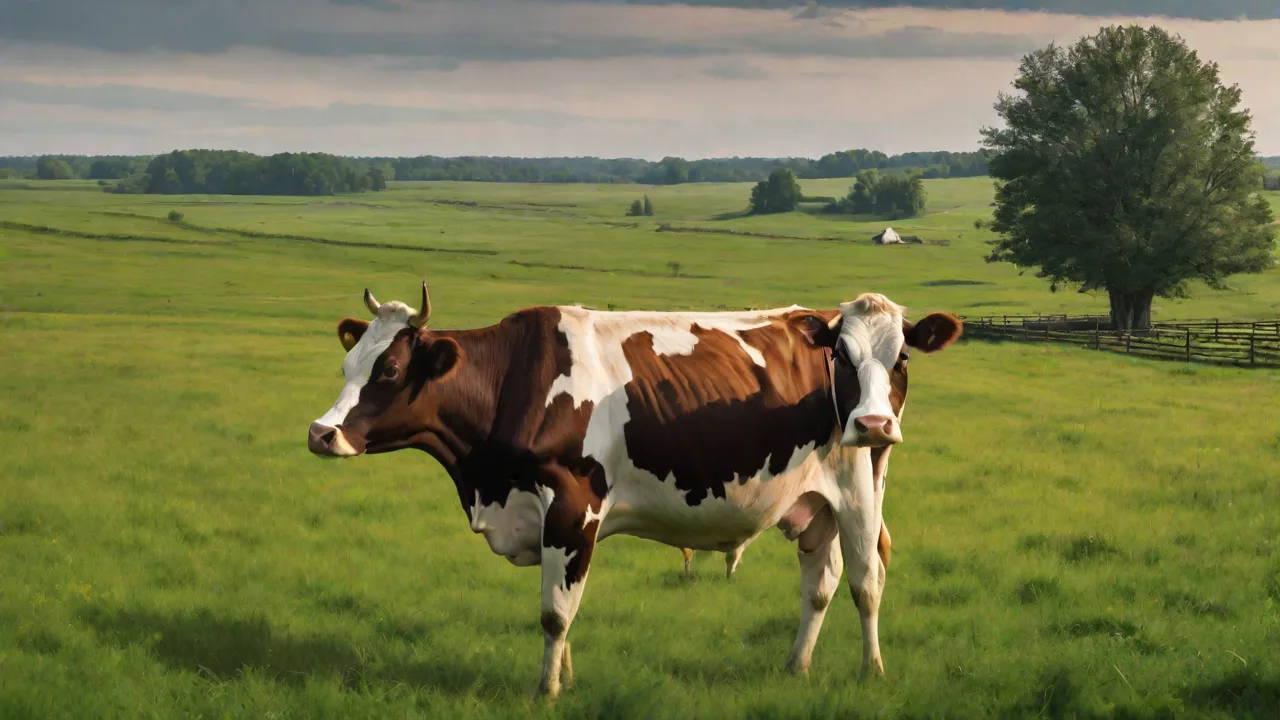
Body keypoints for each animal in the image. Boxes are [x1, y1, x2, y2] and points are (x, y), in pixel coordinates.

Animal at [307, 282, 961, 699]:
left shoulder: (573, 505)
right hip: (812, 503)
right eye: (348, 366)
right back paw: (796, 667)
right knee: (818, 585)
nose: (321, 432)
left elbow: (554, 613)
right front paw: (566, 679)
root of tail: (814, 313)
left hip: (860, 485)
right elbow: (563, 606)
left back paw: (872, 672)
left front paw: (546, 691)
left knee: (866, 583)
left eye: (390, 370)